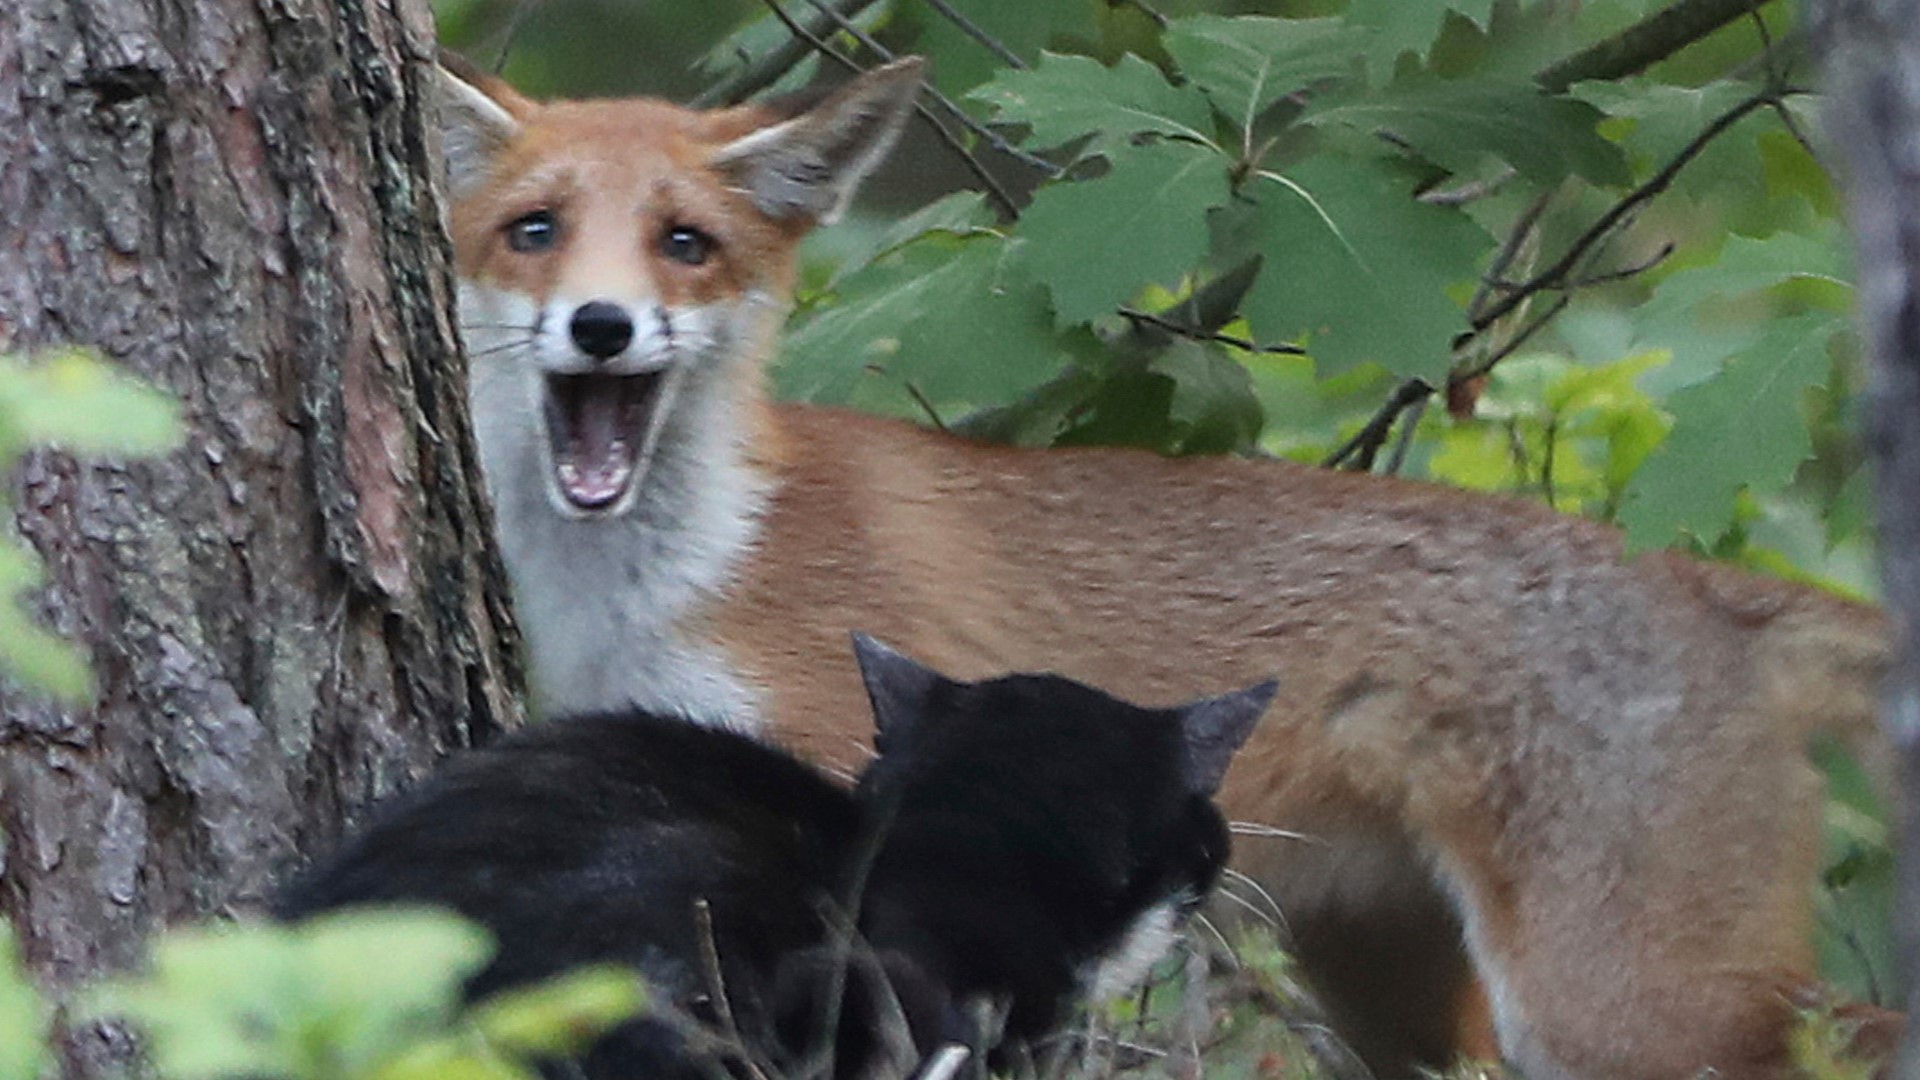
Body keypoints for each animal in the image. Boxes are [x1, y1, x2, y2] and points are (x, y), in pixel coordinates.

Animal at [436, 55, 1900, 1080]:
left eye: (684, 243)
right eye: (535, 230)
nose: (602, 326)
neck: (671, 578)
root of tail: (1689, 584)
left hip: (1622, 1008)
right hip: (1405, 999)